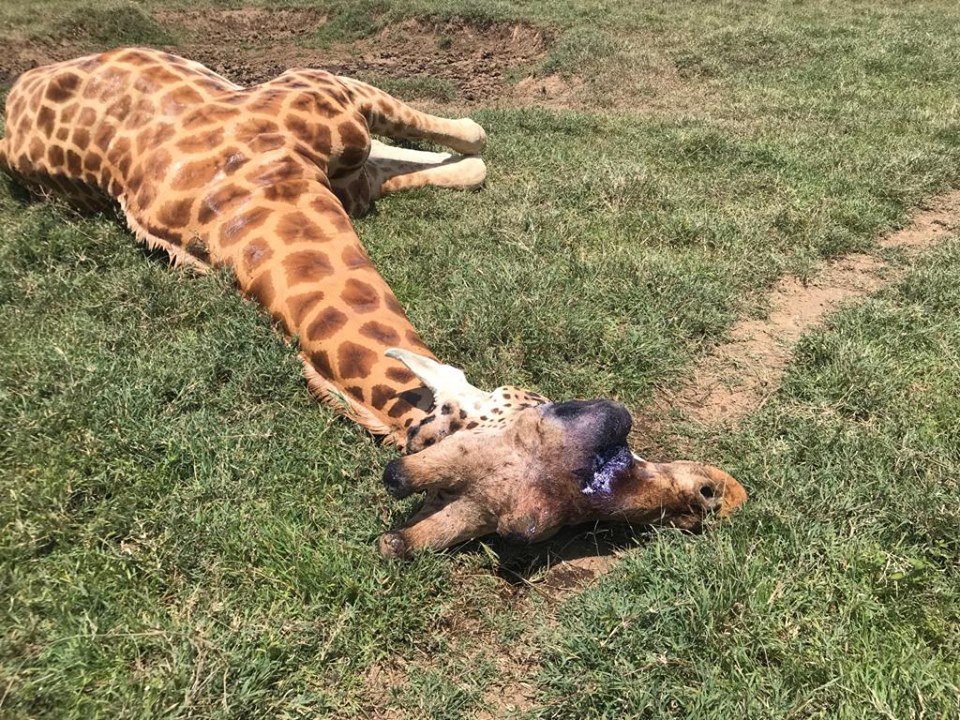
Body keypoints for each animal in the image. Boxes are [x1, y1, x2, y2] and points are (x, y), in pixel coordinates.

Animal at [0, 48, 747, 558]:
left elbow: (469, 148)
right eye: (550, 418)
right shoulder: (328, 96)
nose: (716, 495)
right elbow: (474, 142)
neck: (254, 187)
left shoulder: (341, 132)